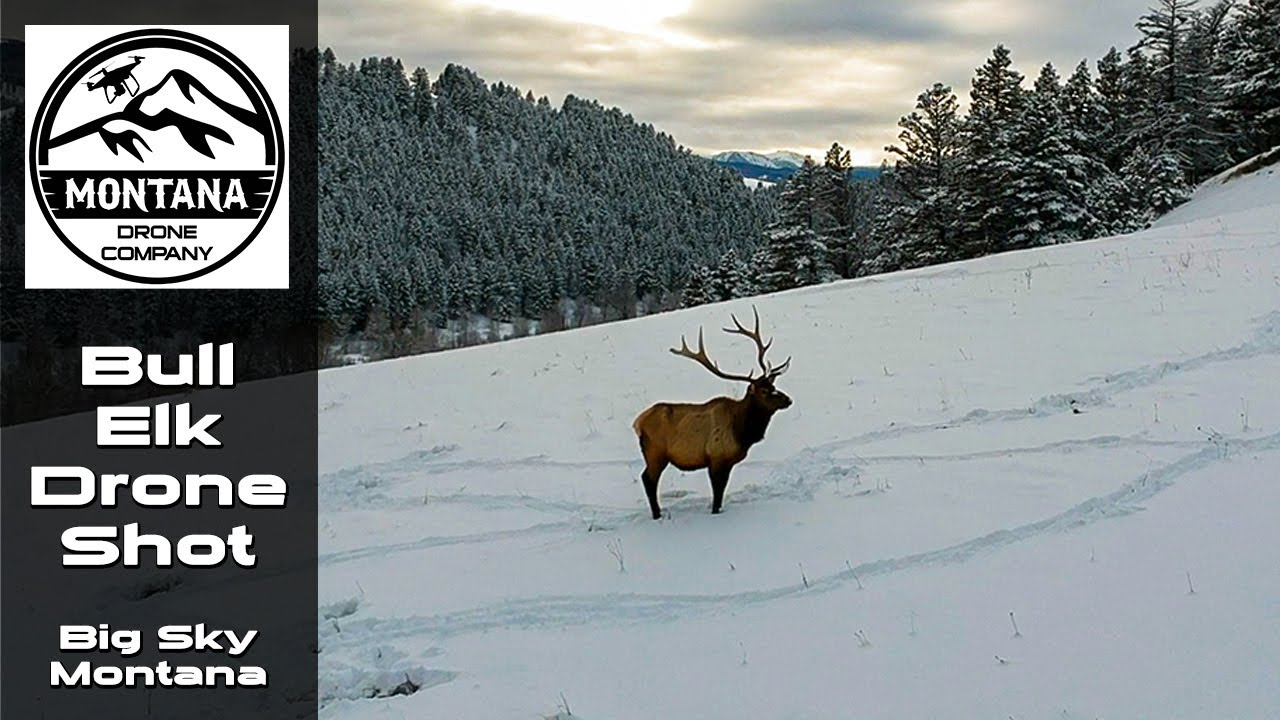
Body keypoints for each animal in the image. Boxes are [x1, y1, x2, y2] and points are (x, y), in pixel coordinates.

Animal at [632, 306, 792, 519]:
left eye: (774, 386)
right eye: (764, 391)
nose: (788, 399)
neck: (743, 432)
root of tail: (637, 422)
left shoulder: (728, 462)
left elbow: (721, 492)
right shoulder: (715, 458)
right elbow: (717, 494)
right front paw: (715, 513)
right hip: (655, 452)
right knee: (648, 480)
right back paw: (657, 515)